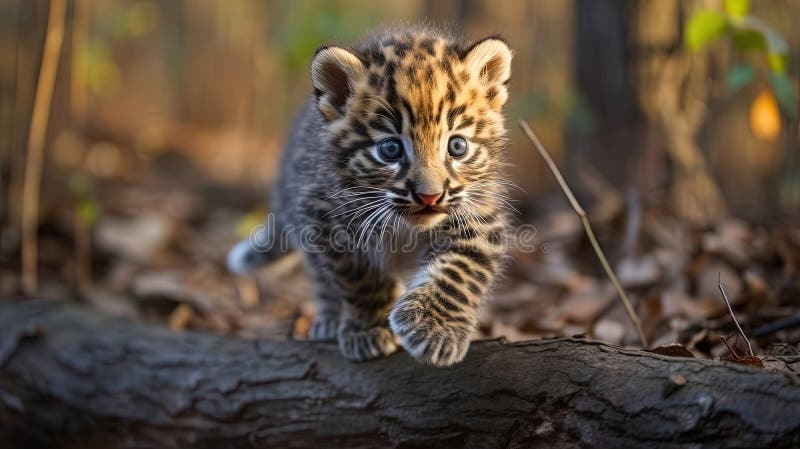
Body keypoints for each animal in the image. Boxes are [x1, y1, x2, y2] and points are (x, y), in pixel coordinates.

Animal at [227, 24, 514, 367]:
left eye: (457, 146)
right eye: (390, 149)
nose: (429, 197)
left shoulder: (479, 214)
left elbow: (460, 271)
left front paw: (435, 330)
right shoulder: (322, 216)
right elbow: (360, 278)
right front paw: (371, 330)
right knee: (320, 278)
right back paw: (329, 321)